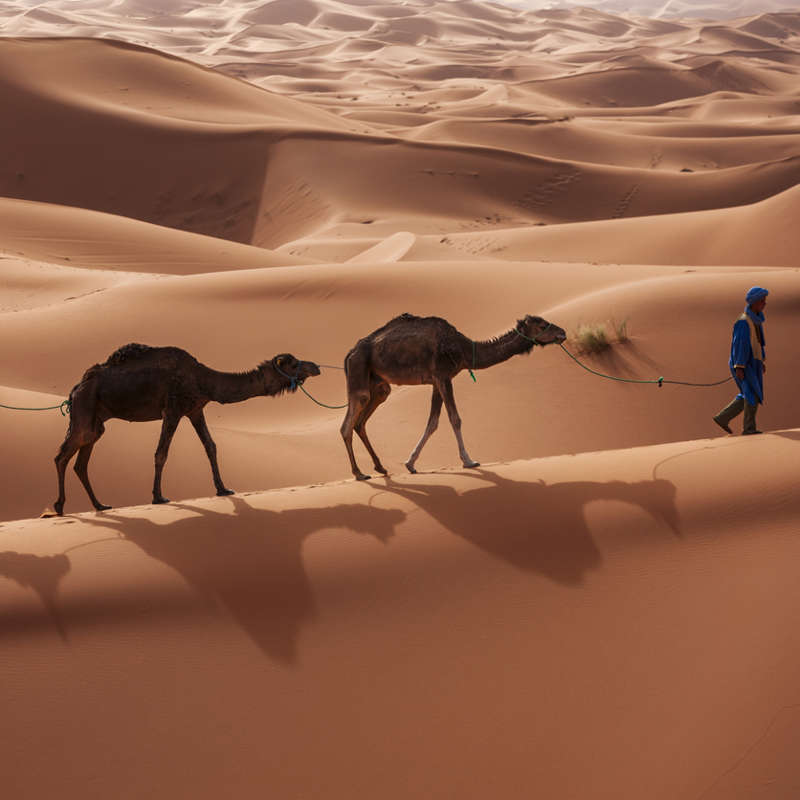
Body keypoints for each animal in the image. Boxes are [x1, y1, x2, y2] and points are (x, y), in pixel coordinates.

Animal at [53, 344, 320, 515]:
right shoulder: (173, 409)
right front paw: (158, 497)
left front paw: (223, 489)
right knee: (61, 456)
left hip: (96, 423)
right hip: (84, 411)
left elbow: (211, 446)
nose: (316, 366)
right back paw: (59, 507)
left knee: (80, 463)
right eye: (294, 363)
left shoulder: (195, 409)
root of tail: (75, 389)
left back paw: (100, 505)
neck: (203, 379)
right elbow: (161, 453)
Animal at [340, 313, 567, 480]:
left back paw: (380, 468)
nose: (562, 332)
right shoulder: (443, 376)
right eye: (542, 325)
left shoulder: (437, 381)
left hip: (378, 383)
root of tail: (350, 352)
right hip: (359, 372)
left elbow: (432, 422)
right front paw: (469, 460)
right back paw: (359, 473)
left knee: (361, 421)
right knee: (347, 424)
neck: (465, 349)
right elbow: (455, 418)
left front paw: (410, 463)